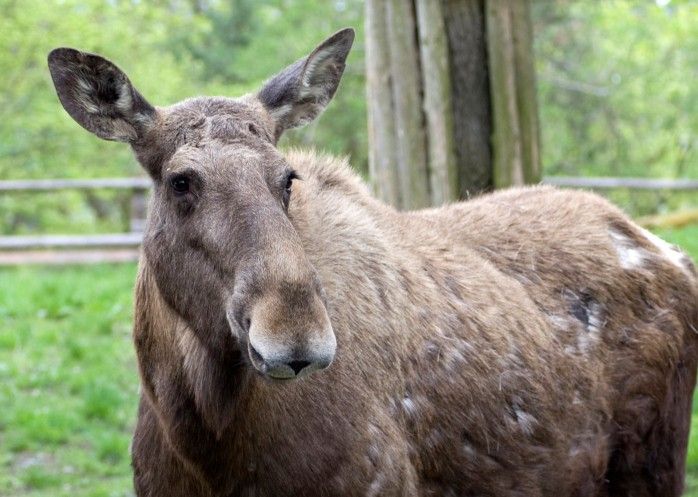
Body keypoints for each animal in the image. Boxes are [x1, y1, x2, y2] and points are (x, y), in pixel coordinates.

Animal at [48, 28, 698, 497]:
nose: (297, 339)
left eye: (287, 178)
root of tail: (671, 252)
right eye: (181, 181)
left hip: (651, 463)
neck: (201, 439)